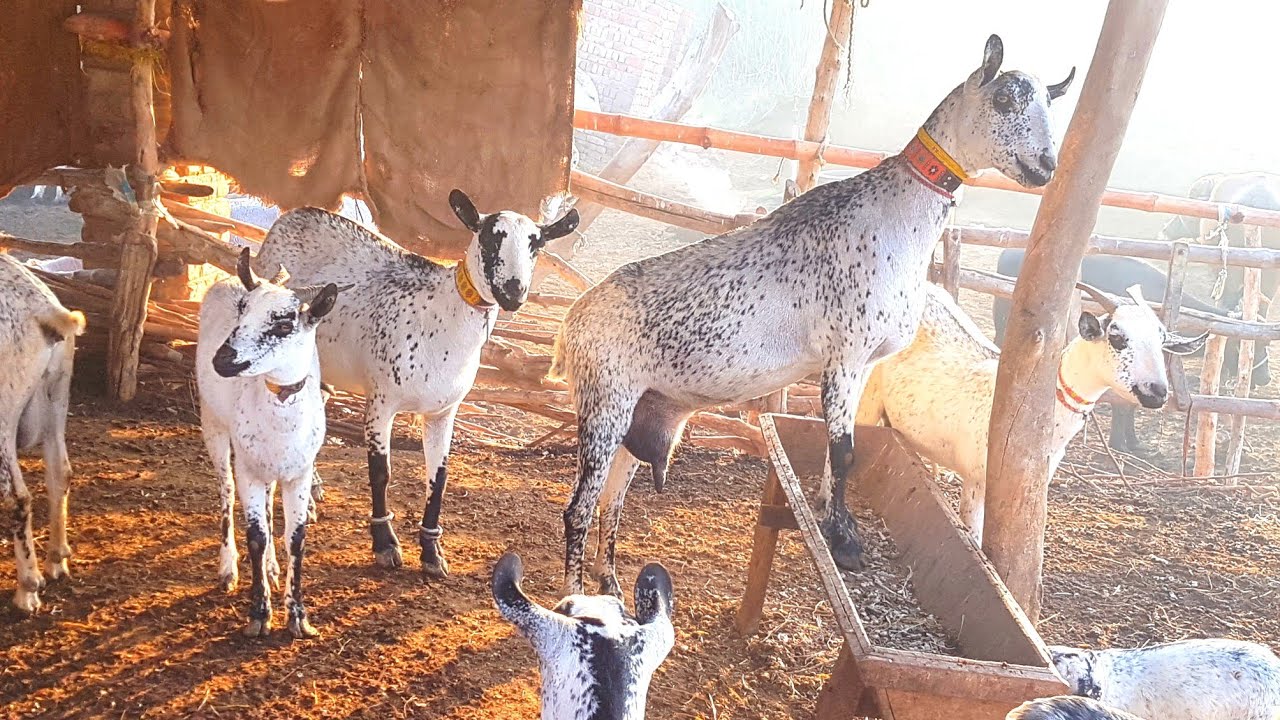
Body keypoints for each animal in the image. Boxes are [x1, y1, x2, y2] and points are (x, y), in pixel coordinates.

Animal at [197, 248, 341, 638]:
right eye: (242, 310)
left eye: (283, 324)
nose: (222, 359)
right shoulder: (249, 467)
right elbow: (256, 536)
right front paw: (259, 615)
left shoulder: (298, 473)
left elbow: (296, 537)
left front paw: (298, 617)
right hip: (213, 424)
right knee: (225, 491)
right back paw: (228, 568)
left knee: (268, 502)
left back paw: (274, 569)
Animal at [256, 190, 578, 577]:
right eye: (488, 236)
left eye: (536, 243)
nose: (513, 292)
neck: (442, 316)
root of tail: (295, 214)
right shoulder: (381, 402)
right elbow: (381, 472)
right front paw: (385, 545)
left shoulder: (444, 411)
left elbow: (439, 478)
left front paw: (431, 553)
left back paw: (313, 488)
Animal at [550, 34, 1075, 594]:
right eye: (1005, 99)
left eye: (1050, 103)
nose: (1045, 166)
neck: (895, 219)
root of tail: (572, 321)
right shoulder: (845, 351)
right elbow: (844, 450)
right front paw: (845, 543)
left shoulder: (865, 362)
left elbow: (837, 447)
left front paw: (827, 512)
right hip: (604, 401)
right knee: (579, 507)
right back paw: (574, 596)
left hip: (641, 410)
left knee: (612, 499)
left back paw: (610, 584)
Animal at [857, 283, 1206, 545]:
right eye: (1117, 337)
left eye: (1163, 342)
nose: (1157, 391)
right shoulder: (977, 478)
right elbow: (974, 537)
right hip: (866, 397)